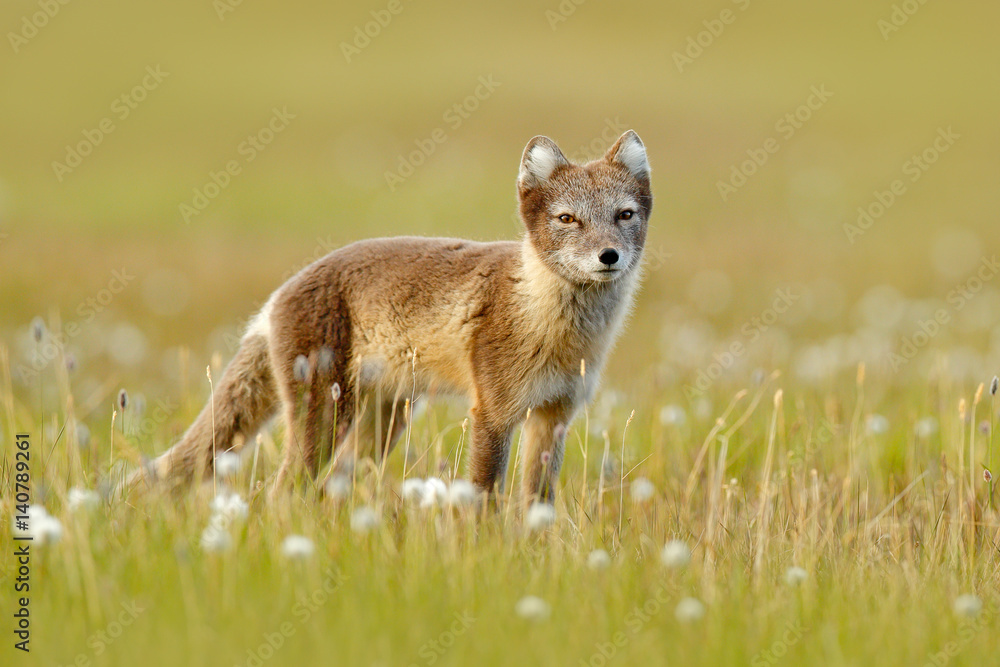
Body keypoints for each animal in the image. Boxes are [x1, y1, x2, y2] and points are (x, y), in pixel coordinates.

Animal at [130, 130, 652, 505]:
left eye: (624, 215)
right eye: (567, 220)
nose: (609, 256)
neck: (555, 329)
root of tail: (281, 291)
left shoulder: (554, 416)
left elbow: (538, 508)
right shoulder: (493, 414)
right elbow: (482, 503)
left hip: (380, 424)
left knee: (330, 487)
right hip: (326, 419)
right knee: (283, 492)